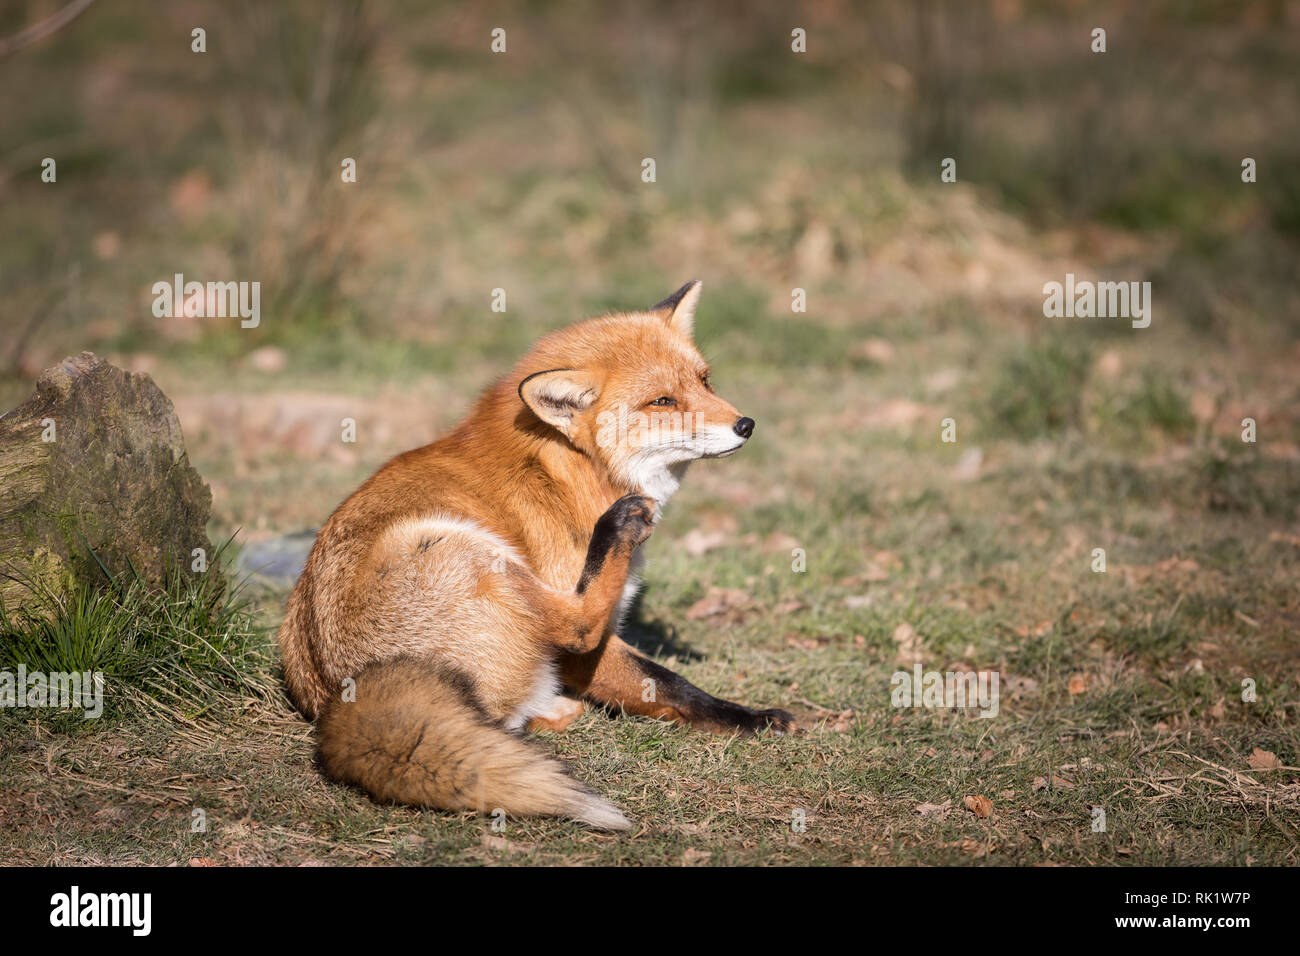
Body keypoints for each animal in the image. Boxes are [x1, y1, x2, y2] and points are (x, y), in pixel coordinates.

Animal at [277, 280, 795, 831]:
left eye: (704, 380)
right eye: (662, 401)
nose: (747, 424)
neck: (565, 469)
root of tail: (338, 701)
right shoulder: (588, 648)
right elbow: (670, 682)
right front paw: (751, 719)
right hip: (465, 549)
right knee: (572, 627)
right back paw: (617, 532)